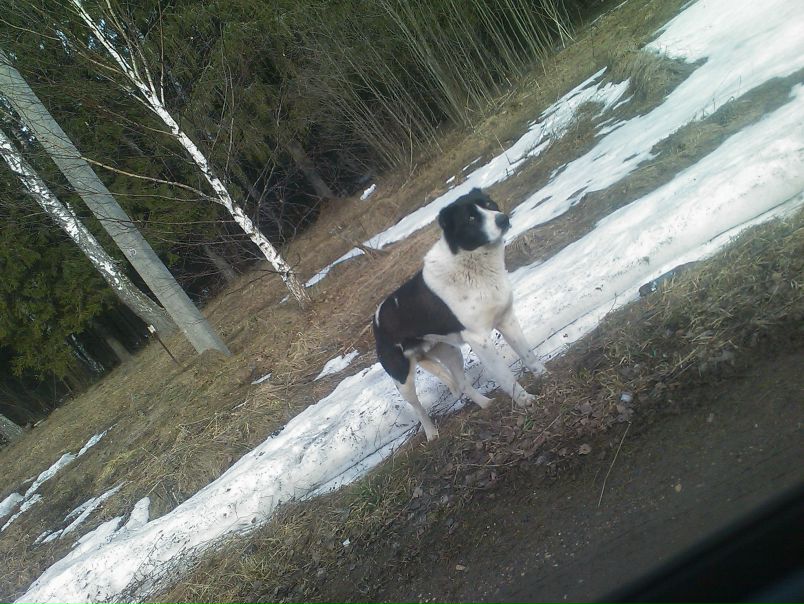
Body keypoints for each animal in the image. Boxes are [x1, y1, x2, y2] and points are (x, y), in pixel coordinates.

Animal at [372, 188, 547, 441]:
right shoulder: (480, 339)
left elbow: (528, 355)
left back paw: (485, 404)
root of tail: (375, 321)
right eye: (471, 219)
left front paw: (544, 375)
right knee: (418, 408)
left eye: (489, 204)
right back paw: (431, 434)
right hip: (403, 379)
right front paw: (525, 400)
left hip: (450, 352)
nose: (503, 219)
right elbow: (505, 375)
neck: (471, 264)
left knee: (462, 383)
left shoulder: (507, 319)